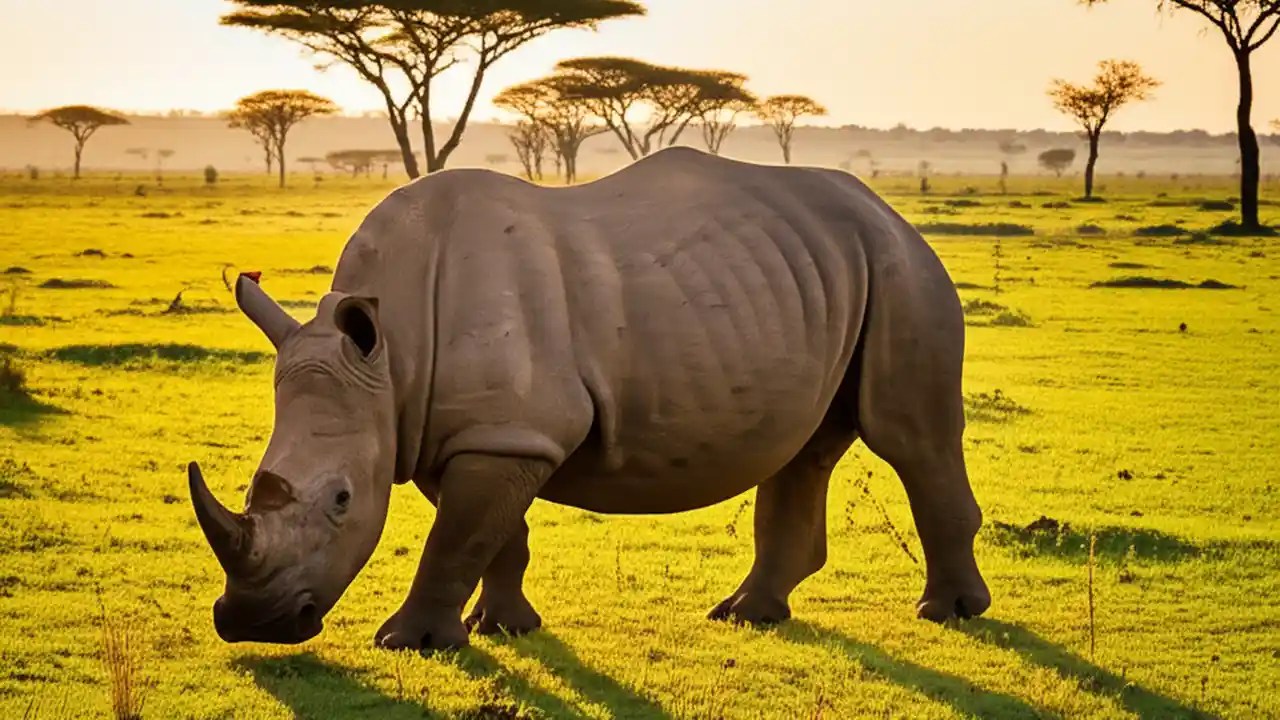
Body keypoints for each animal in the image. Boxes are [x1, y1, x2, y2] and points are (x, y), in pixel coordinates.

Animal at [188, 147, 989, 651]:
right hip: (813, 275)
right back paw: (746, 617)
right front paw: (502, 628)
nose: (252, 622)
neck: (392, 356)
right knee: (807, 445)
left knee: (909, 437)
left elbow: (458, 538)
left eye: (342, 500)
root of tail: (884, 206)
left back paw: (949, 614)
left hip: (901, 265)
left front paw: (408, 644)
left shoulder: (504, 430)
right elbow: (490, 537)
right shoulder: (475, 430)